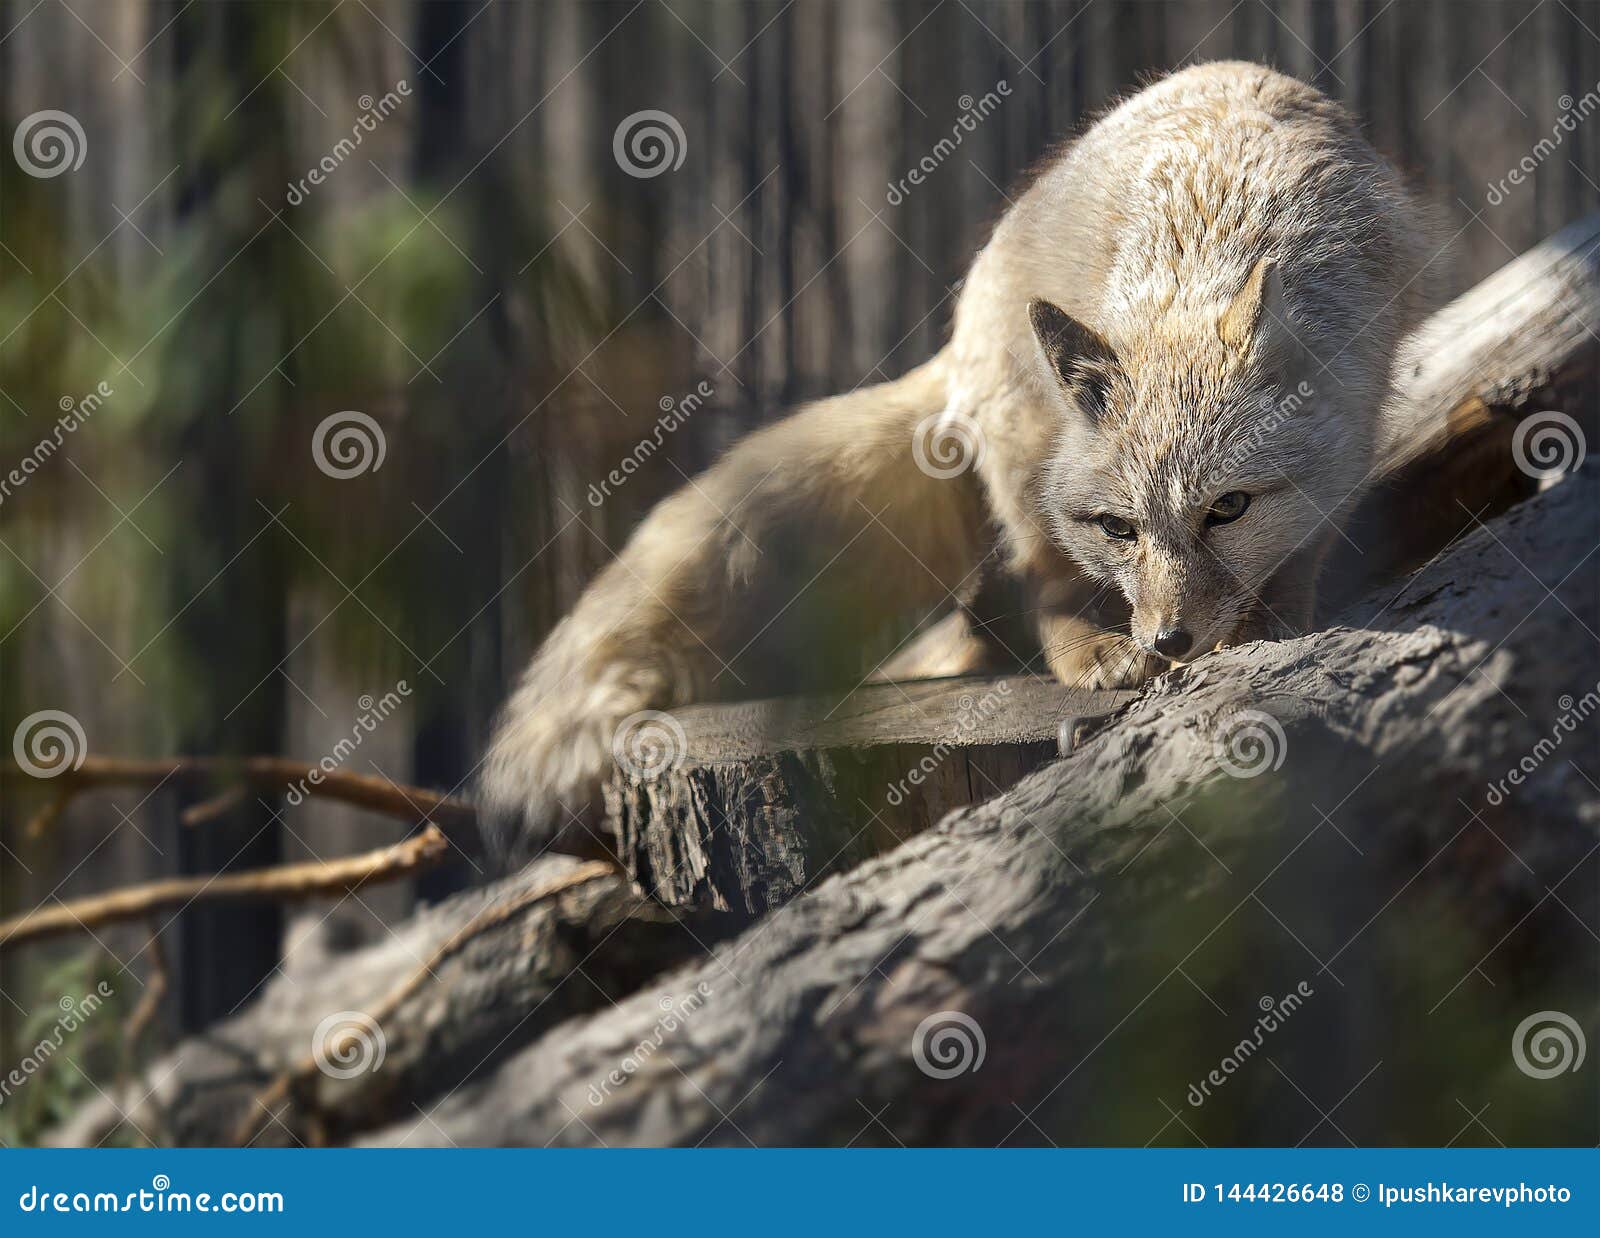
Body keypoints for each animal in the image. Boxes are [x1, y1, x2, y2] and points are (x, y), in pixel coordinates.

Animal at [480, 61, 1443, 865]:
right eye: (1121, 528)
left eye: (1228, 509)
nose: (1168, 640)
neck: (1211, 243)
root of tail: (966, 310)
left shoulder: (1356, 428)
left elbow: (1299, 555)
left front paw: (1274, 621)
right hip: (1024, 471)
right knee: (1037, 585)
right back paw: (1089, 652)